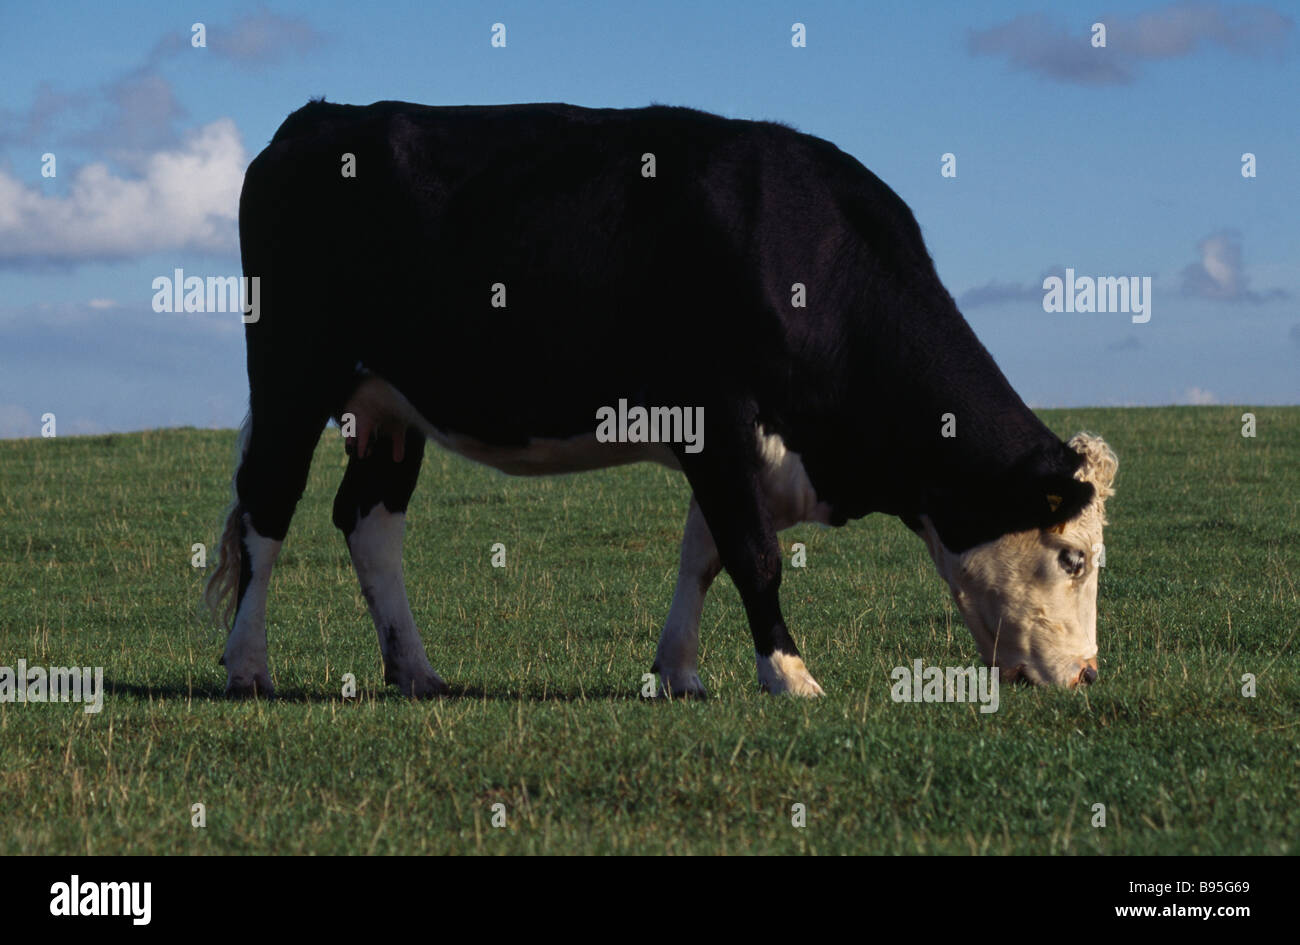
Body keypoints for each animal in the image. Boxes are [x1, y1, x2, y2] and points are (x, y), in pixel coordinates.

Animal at [205, 100, 1117, 700]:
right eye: (1072, 557)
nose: (1086, 672)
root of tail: (319, 117)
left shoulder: (736, 444)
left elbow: (705, 552)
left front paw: (680, 670)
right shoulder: (716, 415)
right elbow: (754, 553)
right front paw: (790, 674)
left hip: (391, 406)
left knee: (368, 520)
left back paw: (417, 669)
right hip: (293, 372)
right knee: (267, 511)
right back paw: (248, 666)